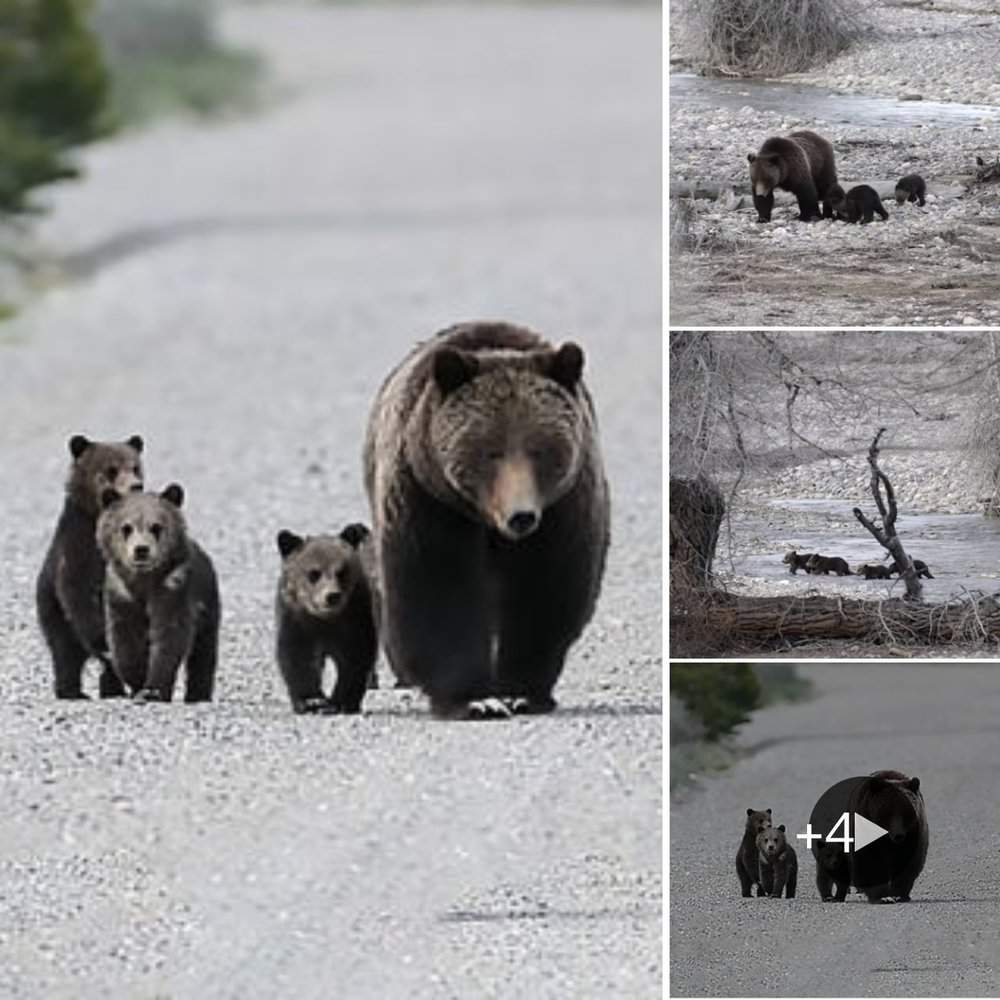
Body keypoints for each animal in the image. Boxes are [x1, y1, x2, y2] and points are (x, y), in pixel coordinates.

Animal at [36, 434, 145, 699]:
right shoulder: (79, 544)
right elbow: (78, 588)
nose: (136, 485)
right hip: (53, 610)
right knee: (65, 651)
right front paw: (102, 640)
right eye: (111, 469)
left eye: (135, 467)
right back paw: (71, 690)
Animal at [97, 484, 220, 703]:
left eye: (156, 527)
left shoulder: (173, 588)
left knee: (203, 651)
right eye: (126, 527)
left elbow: (169, 636)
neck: (144, 580)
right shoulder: (121, 594)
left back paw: (198, 695)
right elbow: (124, 640)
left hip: (209, 605)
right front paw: (138, 682)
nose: (141, 550)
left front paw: (153, 689)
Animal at [275, 523, 380, 715]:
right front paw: (312, 701)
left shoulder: (354, 620)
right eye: (313, 573)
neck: (325, 619)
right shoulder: (297, 621)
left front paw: (341, 702)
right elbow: (298, 658)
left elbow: (355, 659)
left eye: (341, 572)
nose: (332, 596)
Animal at [363, 321, 610, 720]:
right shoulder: (430, 502)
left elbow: (543, 591)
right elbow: (439, 590)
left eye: (539, 449)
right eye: (490, 451)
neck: (486, 520)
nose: (521, 516)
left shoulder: (562, 510)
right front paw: (472, 699)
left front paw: (521, 692)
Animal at [849, 770, 928, 903]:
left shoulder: (913, 833)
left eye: (906, 812)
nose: (898, 835)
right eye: (887, 811)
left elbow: (908, 861)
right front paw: (880, 896)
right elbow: (870, 861)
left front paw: (899, 893)